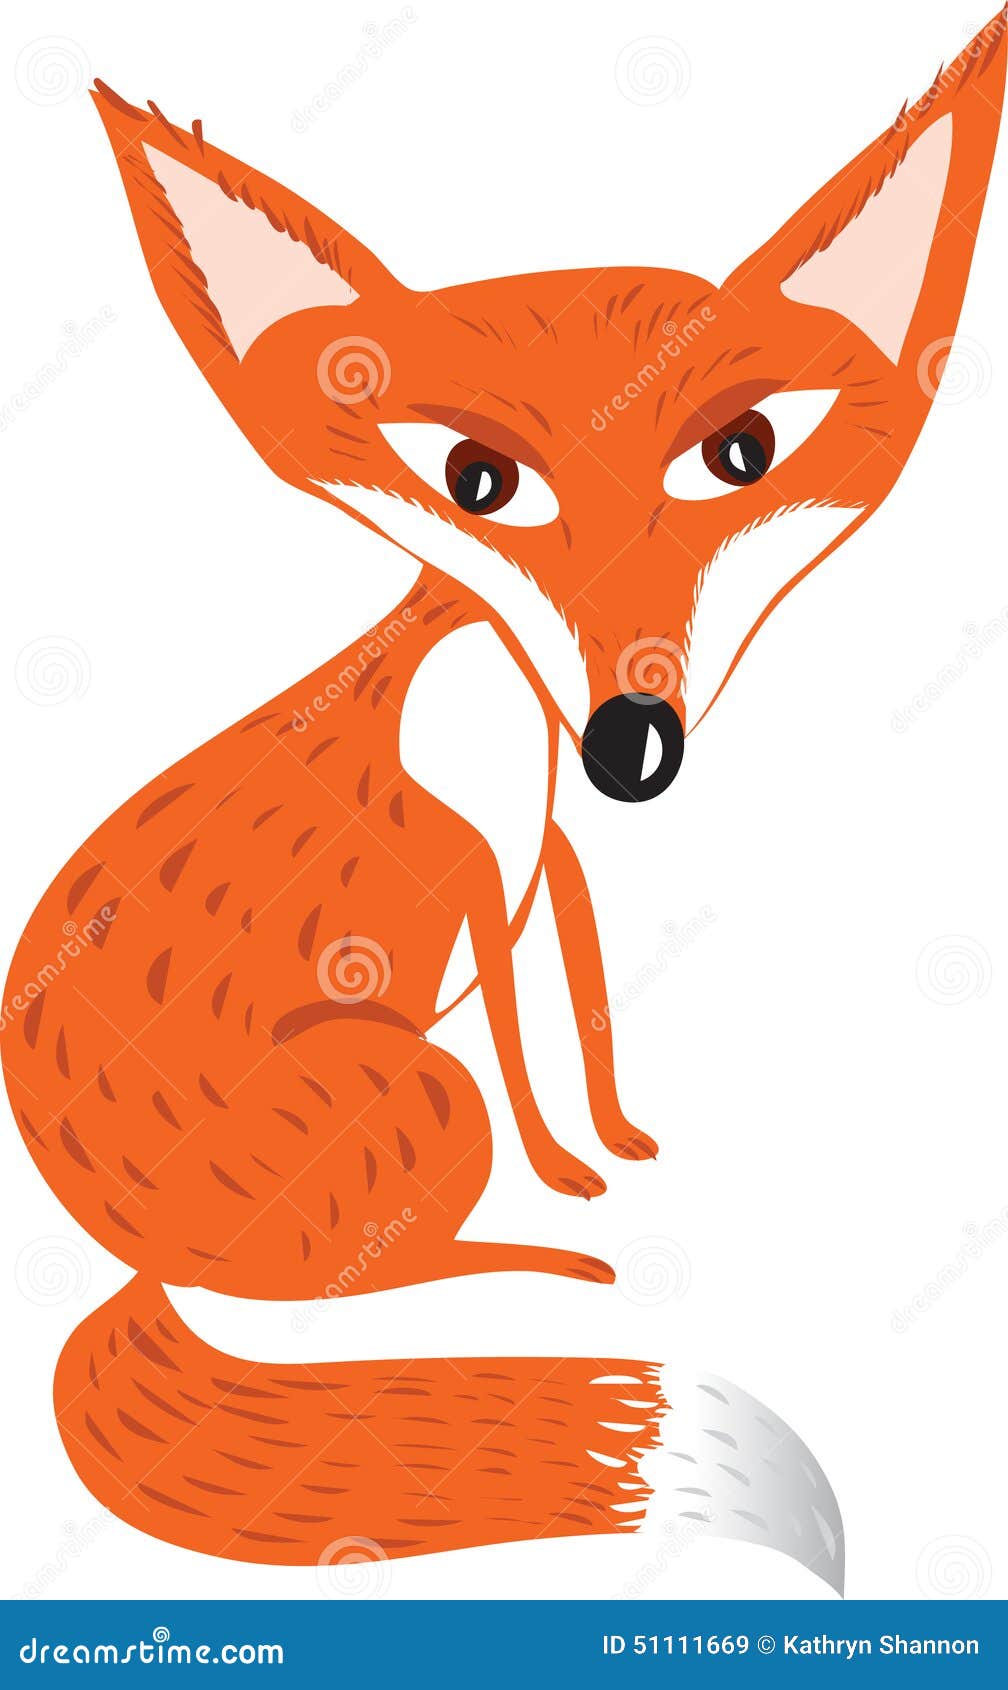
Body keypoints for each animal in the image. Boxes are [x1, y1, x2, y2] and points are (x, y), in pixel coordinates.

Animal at [2, 15, 1003, 1590]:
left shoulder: (551, 854)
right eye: (477, 479)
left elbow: (585, 1010)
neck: (509, 733)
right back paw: (534, 1262)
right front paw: (570, 1180)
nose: (629, 741)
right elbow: (531, 1054)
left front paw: (623, 1139)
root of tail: (124, 1247)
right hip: (418, 1079)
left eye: (742, 454)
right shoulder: (465, 862)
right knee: (352, 1281)